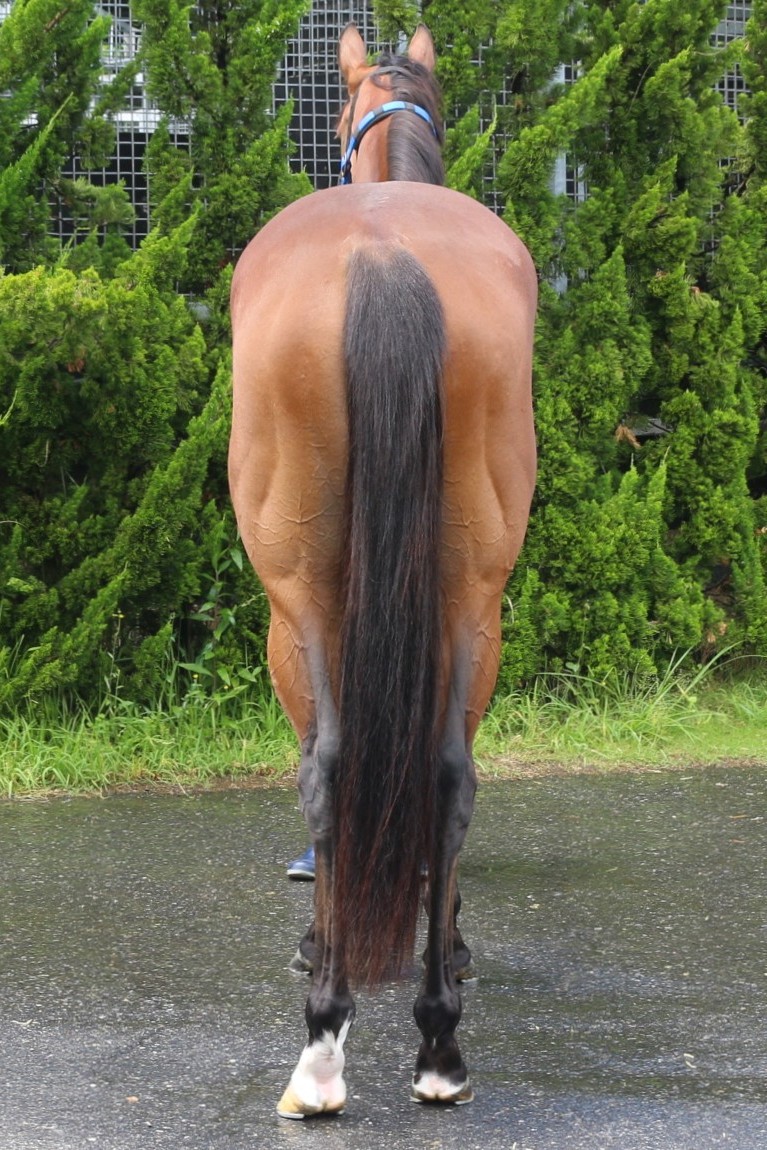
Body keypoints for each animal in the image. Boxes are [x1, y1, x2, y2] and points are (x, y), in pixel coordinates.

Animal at [228, 23, 537, 1118]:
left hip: (299, 599)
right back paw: (438, 1042)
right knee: (447, 772)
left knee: (327, 769)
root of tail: (385, 253)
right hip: (472, 595)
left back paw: (324, 1042)